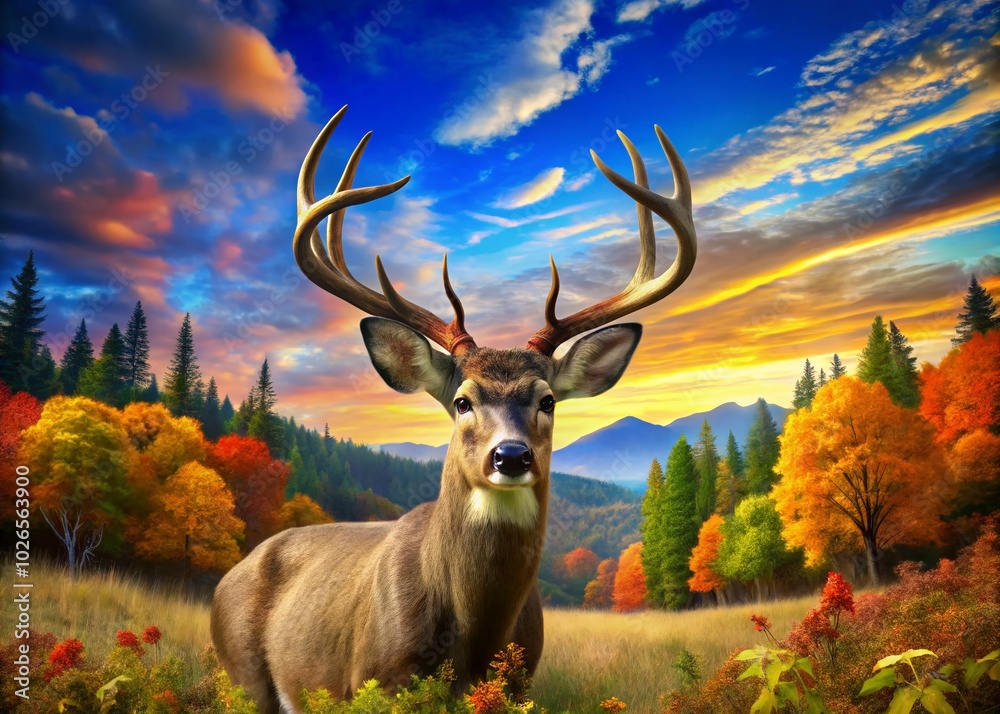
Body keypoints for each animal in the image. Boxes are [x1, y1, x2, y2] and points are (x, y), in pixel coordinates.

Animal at [210, 104, 697, 714]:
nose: (510, 456)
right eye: (462, 401)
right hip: (242, 675)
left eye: (548, 400)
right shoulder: (375, 680)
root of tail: (228, 576)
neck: (473, 643)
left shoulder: (522, 684)